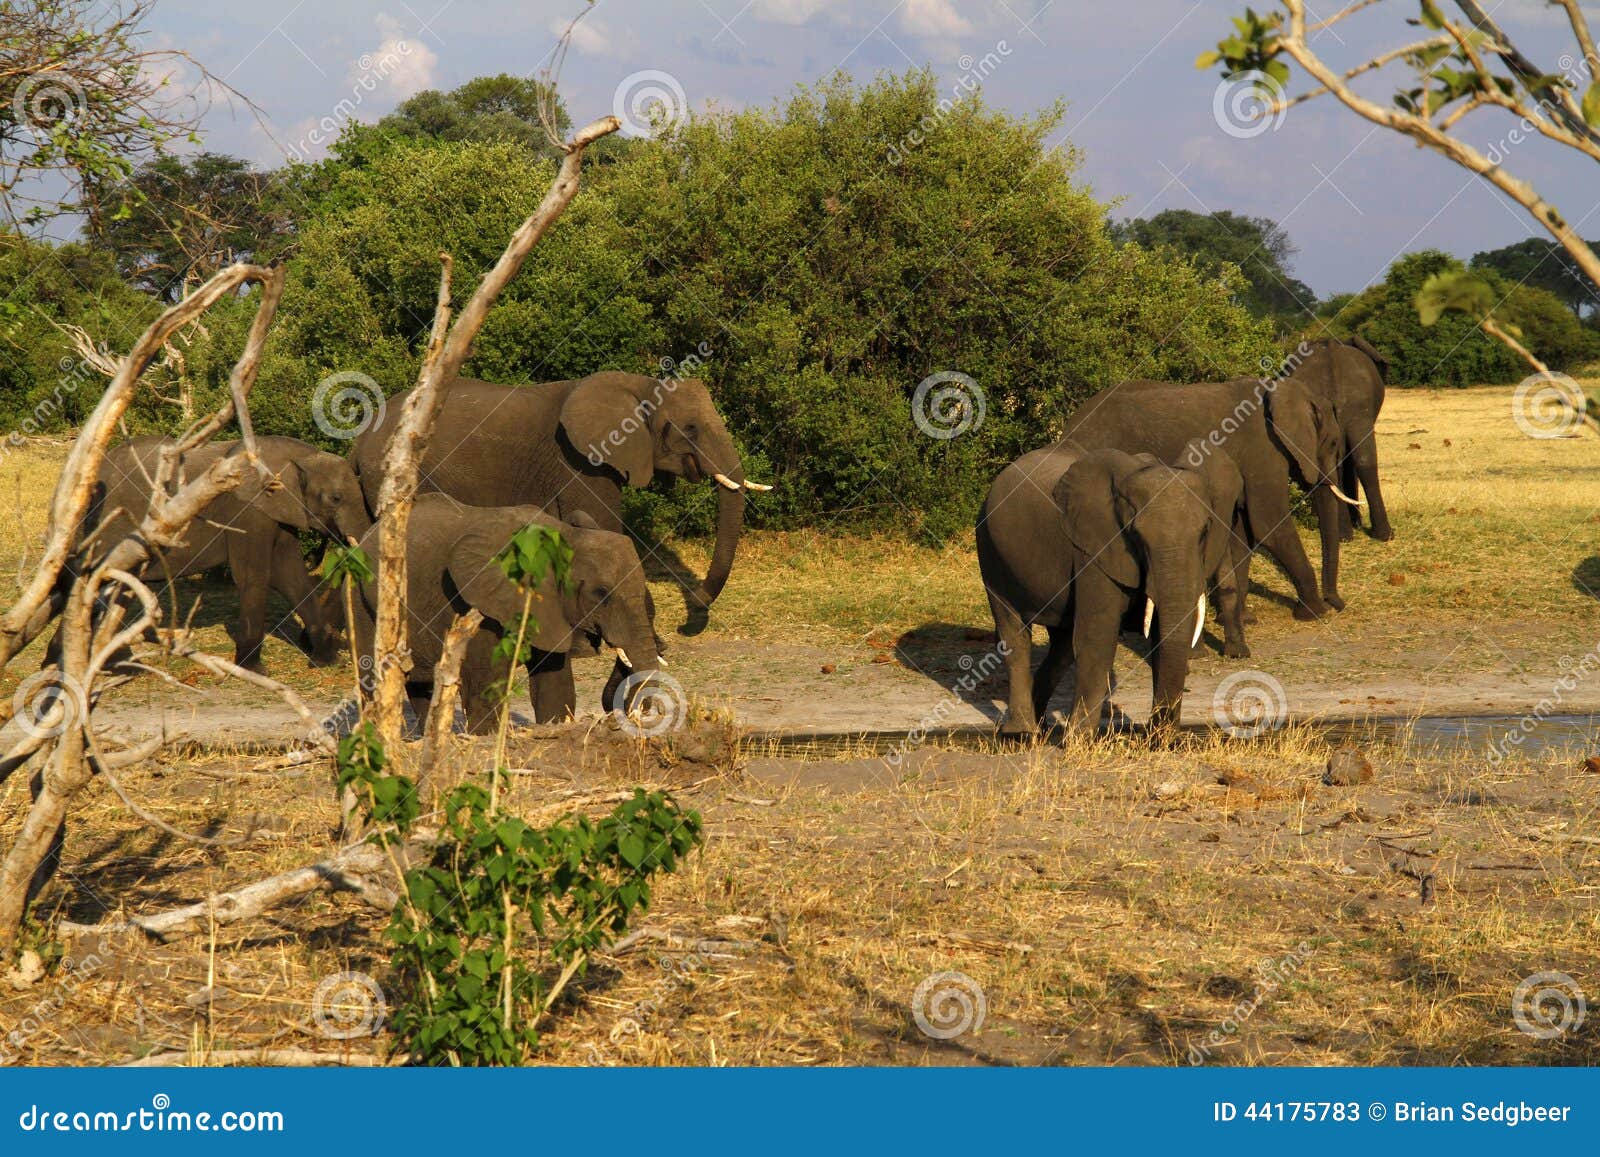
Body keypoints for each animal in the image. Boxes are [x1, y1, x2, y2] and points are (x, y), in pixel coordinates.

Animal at [86, 436, 371, 670]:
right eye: (335, 498)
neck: (300, 457)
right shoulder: (246, 511)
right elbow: (253, 577)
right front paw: (252, 670)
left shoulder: (279, 512)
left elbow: (292, 578)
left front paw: (327, 663)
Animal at [349, 493, 664, 732]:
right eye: (601, 593)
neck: (565, 534)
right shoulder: (478, 606)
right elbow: (486, 687)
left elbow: (554, 684)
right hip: (360, 598)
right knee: (374, 678)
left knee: (420, 687)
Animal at [351, 371, 768, 633]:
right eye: (691, 428)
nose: (693, 606)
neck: (641, 386)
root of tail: (358, 439)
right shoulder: (578, 459)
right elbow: (605, 527)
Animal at [978, 440, 1244, 734]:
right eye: (1136, 534)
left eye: (1204, 533)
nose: (1158, 734)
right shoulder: (1094, 548)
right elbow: (1098, 637)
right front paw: (1079, 739)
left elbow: (1160, 637)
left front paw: (1159, 738)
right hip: (989, 549)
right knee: (1014, 634)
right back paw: (1021, 731)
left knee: (1062, 648)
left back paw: (1041, 725)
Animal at [1061, 375, 1359, 634]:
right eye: (1333, 443)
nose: (1339, 604)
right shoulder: (1264, 450)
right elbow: (1269, 525)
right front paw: (1314, 613)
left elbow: (1243, 534)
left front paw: (1243, 619)